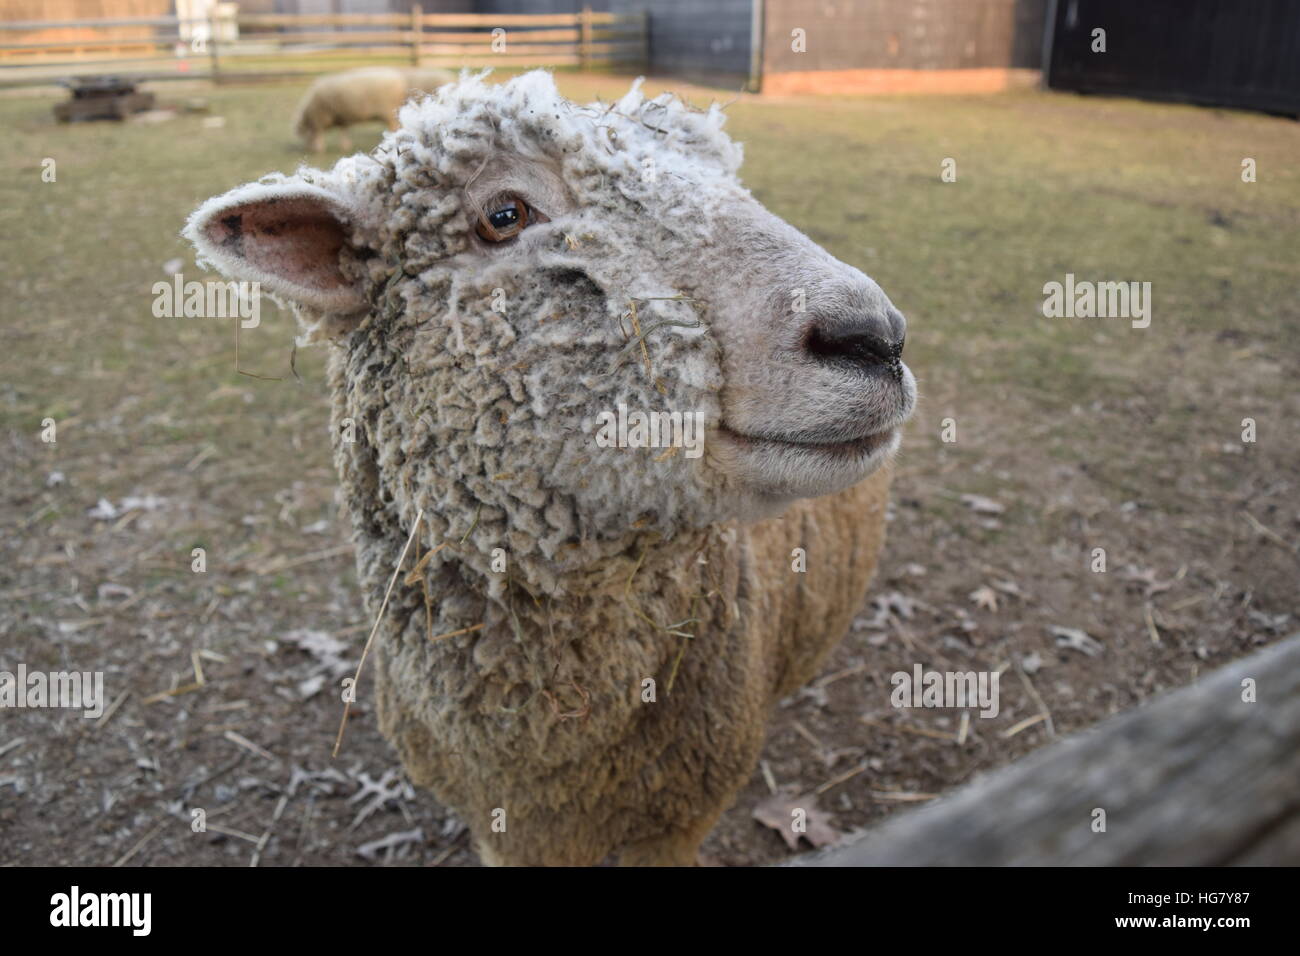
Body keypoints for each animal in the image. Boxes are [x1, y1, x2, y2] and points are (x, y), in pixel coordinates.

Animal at [291, 66, 455, 153]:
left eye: (302, 133)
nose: (307, 149)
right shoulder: (341, 117)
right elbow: (344, 131)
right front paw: (345, 146)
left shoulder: (320, 117)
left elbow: (319, 134)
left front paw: (319, 148)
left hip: (389, 111)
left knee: (394, 127)